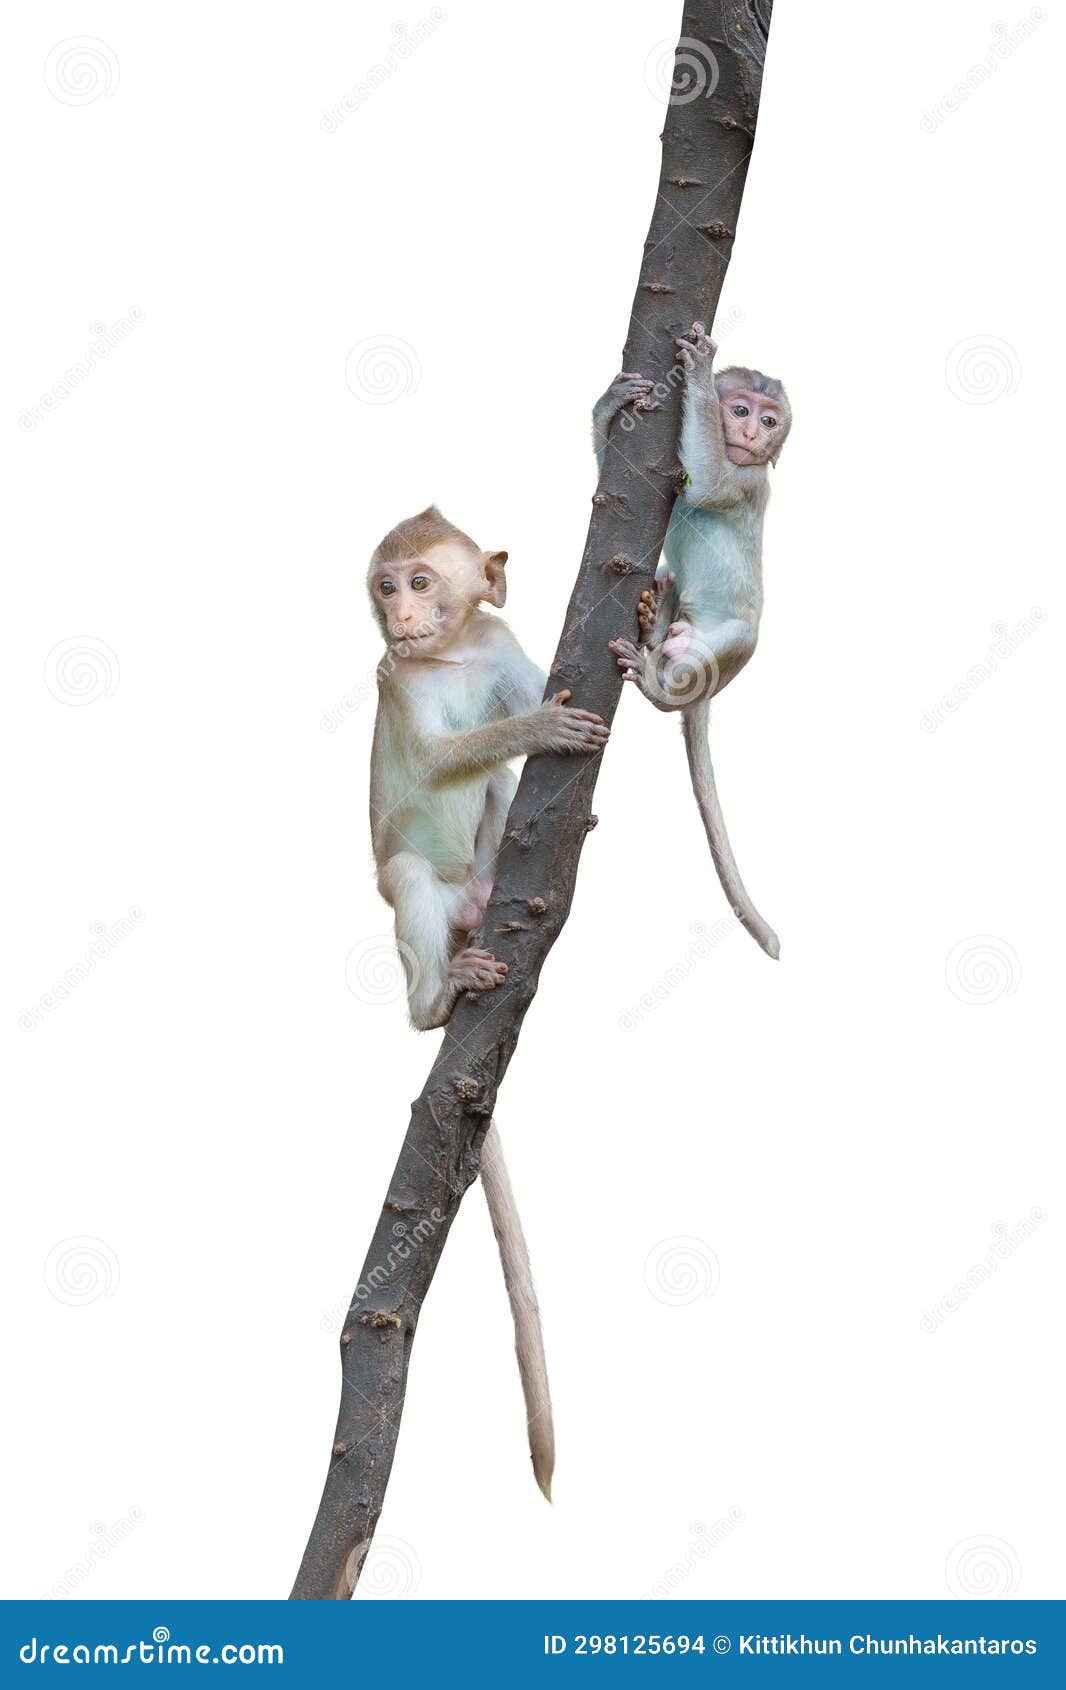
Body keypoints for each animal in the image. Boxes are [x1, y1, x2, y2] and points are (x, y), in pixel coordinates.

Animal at [593, 323, 791, 960]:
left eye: (770, 420)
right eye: (741, 409)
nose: (752, 432)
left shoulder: (748, 479)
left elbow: (707, 483)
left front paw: (697, 377)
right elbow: (614, 485)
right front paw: (609, 406)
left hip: (731, 645)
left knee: (700, 666)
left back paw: (658, 682)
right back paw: (657, 622)